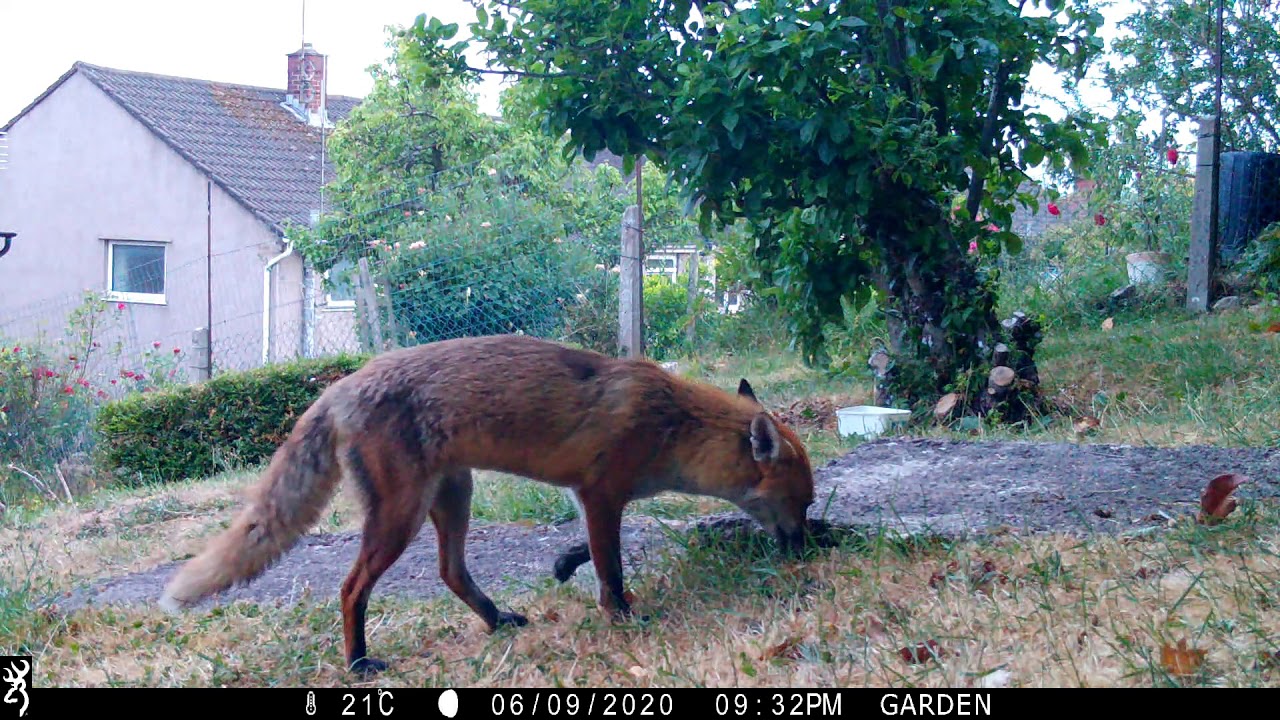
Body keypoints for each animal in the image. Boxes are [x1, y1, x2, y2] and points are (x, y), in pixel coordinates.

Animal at [157, 333, 815, 675]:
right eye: (802, 504)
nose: (807, 550)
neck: (670, 424)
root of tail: (339, 386)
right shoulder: (601, 490)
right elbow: (612, 565)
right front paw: (625, 618)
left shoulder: (595, 496)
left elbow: (596, 547)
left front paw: (565, 566)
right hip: (399, 515)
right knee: (350, 588)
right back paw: (359, 662)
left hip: (454, 495)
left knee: (450, 572)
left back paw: (496, 621)